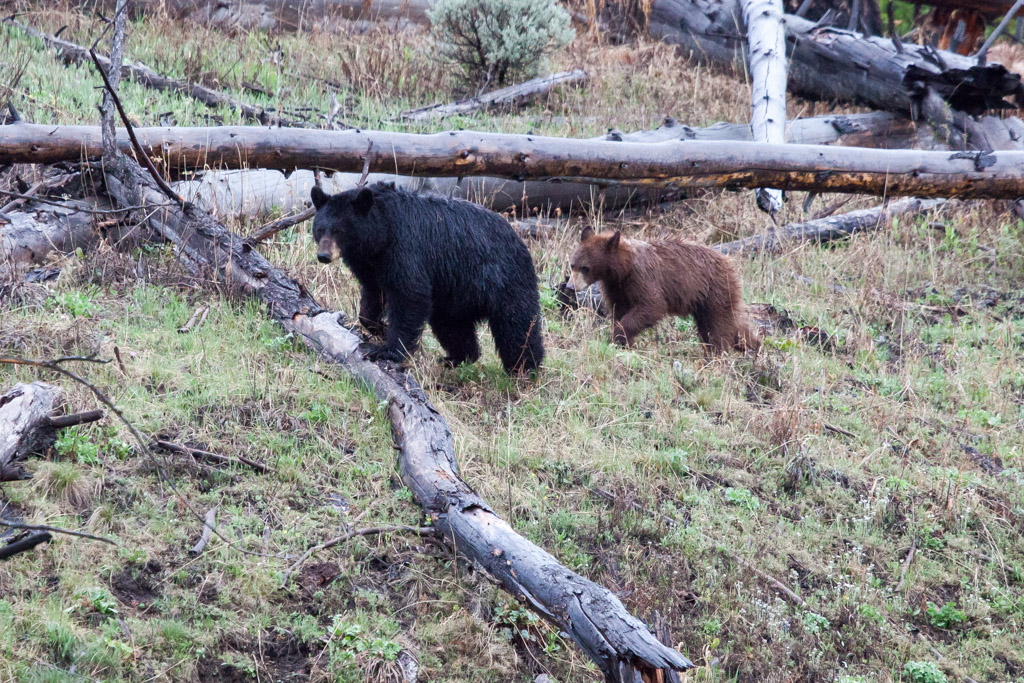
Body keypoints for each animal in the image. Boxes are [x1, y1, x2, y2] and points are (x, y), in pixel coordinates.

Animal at [310, 182, 545, 374]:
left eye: (339, 231)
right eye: (320, 229)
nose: (323, 256)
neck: (383, 233)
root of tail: (520, 240)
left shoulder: (405, 250)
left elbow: (409, 295)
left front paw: (388, 350)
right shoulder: (370, 264)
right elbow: (372, 294)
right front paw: (378, 327)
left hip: (504, 278)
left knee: (517, 325)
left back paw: (524, 368)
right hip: (453, 296)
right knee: (451, 326)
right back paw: (457, 357)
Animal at [569, 227, 760, 353]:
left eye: (585, 267)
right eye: (572, 265)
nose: (570, 286)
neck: (622, 269)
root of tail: (728, 262)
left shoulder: (643, 278)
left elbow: (652, 306)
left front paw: (619, 335)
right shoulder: (616, 288)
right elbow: (618, 310)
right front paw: (624, 342)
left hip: (715, 291)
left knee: (719, 325)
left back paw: (718, 353)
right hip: (705, 300)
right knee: (725, 324)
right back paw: (753, 345)